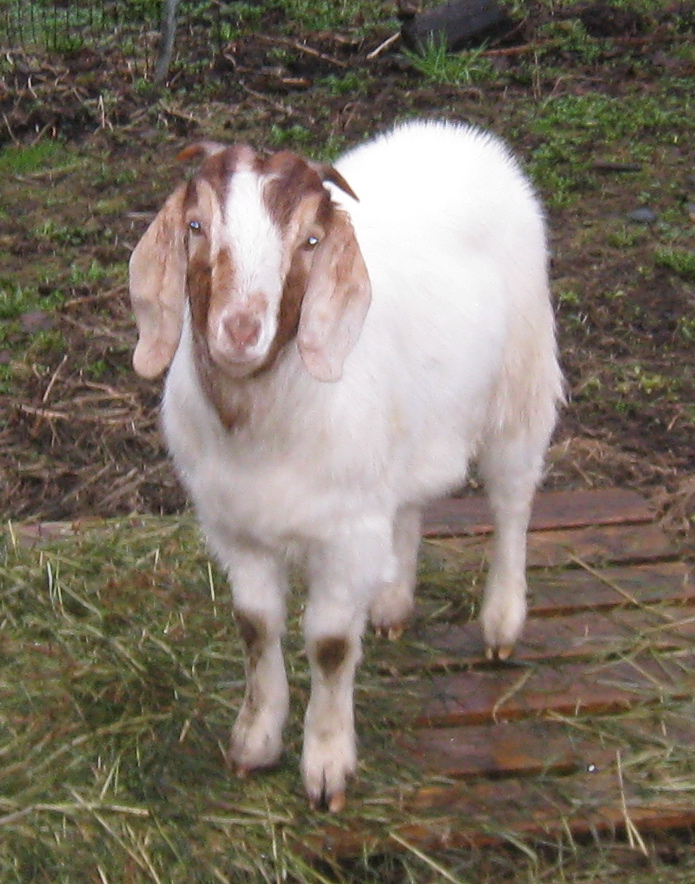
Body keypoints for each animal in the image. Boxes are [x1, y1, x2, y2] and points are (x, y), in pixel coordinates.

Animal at [129, 119, 564, 812]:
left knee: (512, 502)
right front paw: (255, 742)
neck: (260, 424)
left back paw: (501, 621)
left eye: (311, 239)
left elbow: (330, 647)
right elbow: (255, 628)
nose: (241, 329)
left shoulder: (345, 536)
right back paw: (390, 603)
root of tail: (457, 134)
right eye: (196, 225)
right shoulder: (236, 529)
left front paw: (327, 766)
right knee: (410, 504)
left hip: (521, 382)